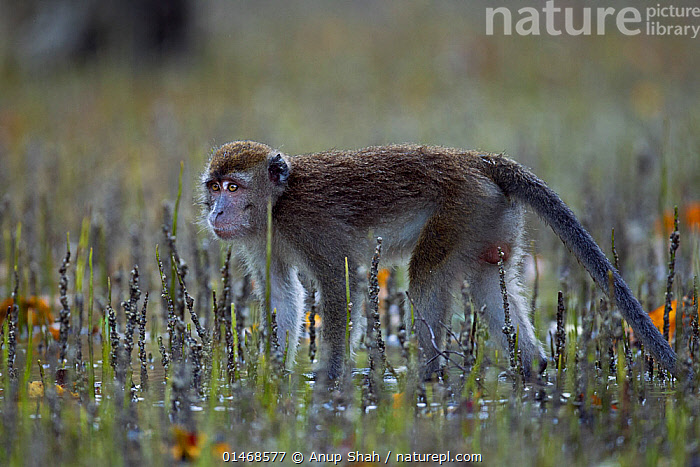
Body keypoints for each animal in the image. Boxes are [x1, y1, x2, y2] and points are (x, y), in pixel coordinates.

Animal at [201, 140, 681, 380]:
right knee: (487, 282)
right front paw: (272, 372)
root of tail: (478, 161)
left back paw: (427, 376)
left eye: (233, 188)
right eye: (215, 186)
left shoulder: (311, 225)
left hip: (462, 208)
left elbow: (341, 286)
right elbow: (285, 295)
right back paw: (532, 366)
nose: (215, 213)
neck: (278, 203)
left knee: (426, 276)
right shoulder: (261, 241)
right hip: (488, 218)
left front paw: (328, 378)